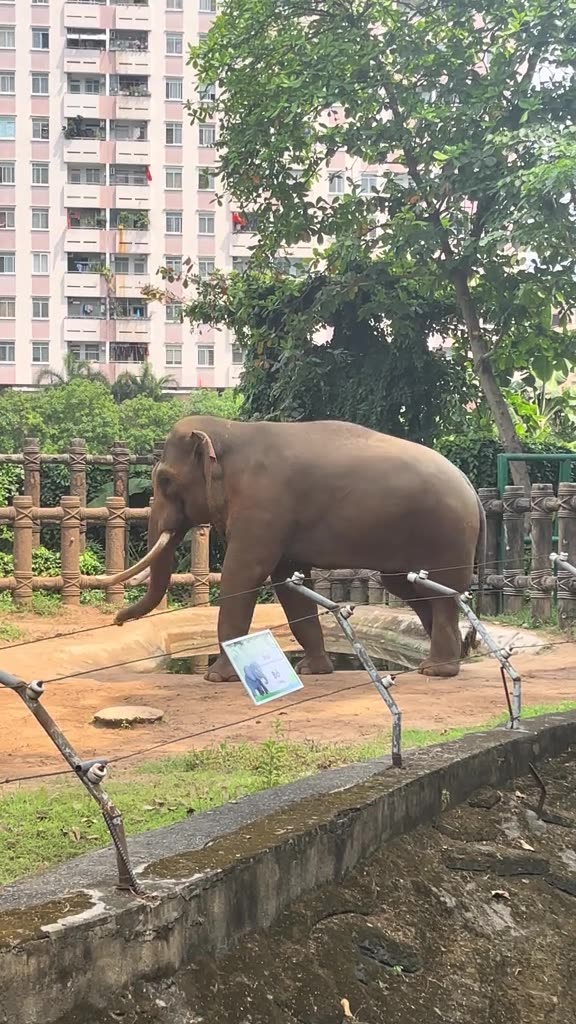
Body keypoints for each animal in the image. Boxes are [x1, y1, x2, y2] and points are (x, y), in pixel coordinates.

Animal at [110, 415, 486, 682]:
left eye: (165, 481)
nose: (116, 620)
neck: (231, 430)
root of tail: (472, 487)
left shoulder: (263, 506)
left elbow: (243, 573)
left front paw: (216, 677)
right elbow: (288, 583)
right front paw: (312, 670)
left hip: (447, 532)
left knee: (440, 591)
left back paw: (437, 670)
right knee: (409, 587)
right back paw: (445, 660)